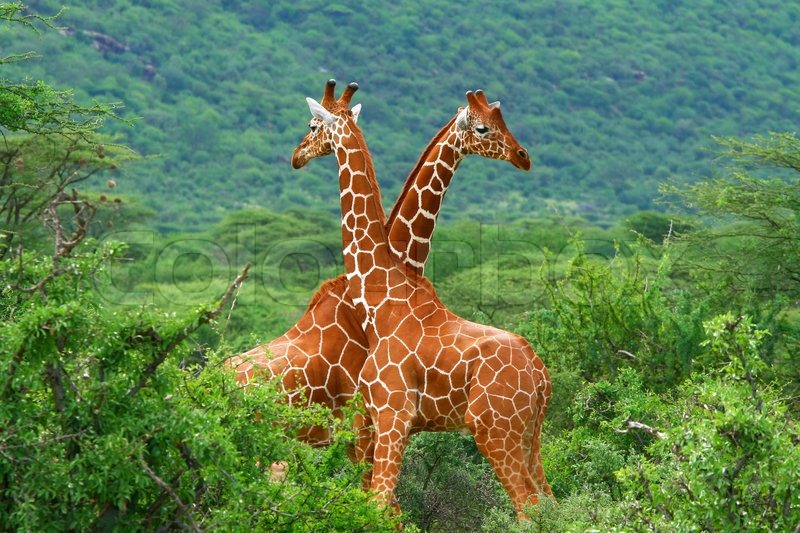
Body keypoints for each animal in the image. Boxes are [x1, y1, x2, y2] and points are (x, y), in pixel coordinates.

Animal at [291, 80, 551, 518]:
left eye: (312, 125)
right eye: (485, 127)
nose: (296, 156)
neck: (381, 299)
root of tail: (542, 376)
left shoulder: (391, 414)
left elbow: (379, 506)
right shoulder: (381, 422)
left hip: (494, 429)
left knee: (529, 506)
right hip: (529, 436)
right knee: (552, 502)